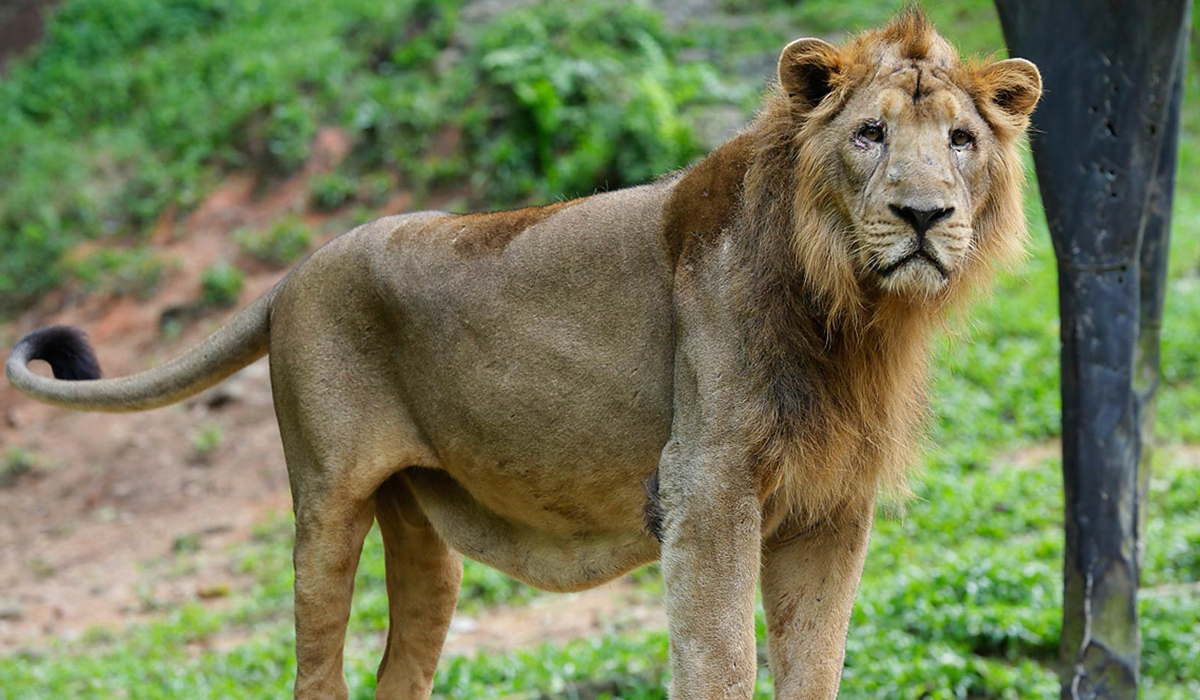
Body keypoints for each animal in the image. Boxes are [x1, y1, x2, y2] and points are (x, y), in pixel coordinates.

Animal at [6, 10, 1040, 700]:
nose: (923, 215)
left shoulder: (833, 506)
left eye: (960, 139)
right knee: (316, 672)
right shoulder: (707, 486)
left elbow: (814, 666)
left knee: (399, 674)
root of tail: (295, 269)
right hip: (327, 503)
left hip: (425, 535)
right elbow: (721, 663)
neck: (852, 315)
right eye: (870, 135)